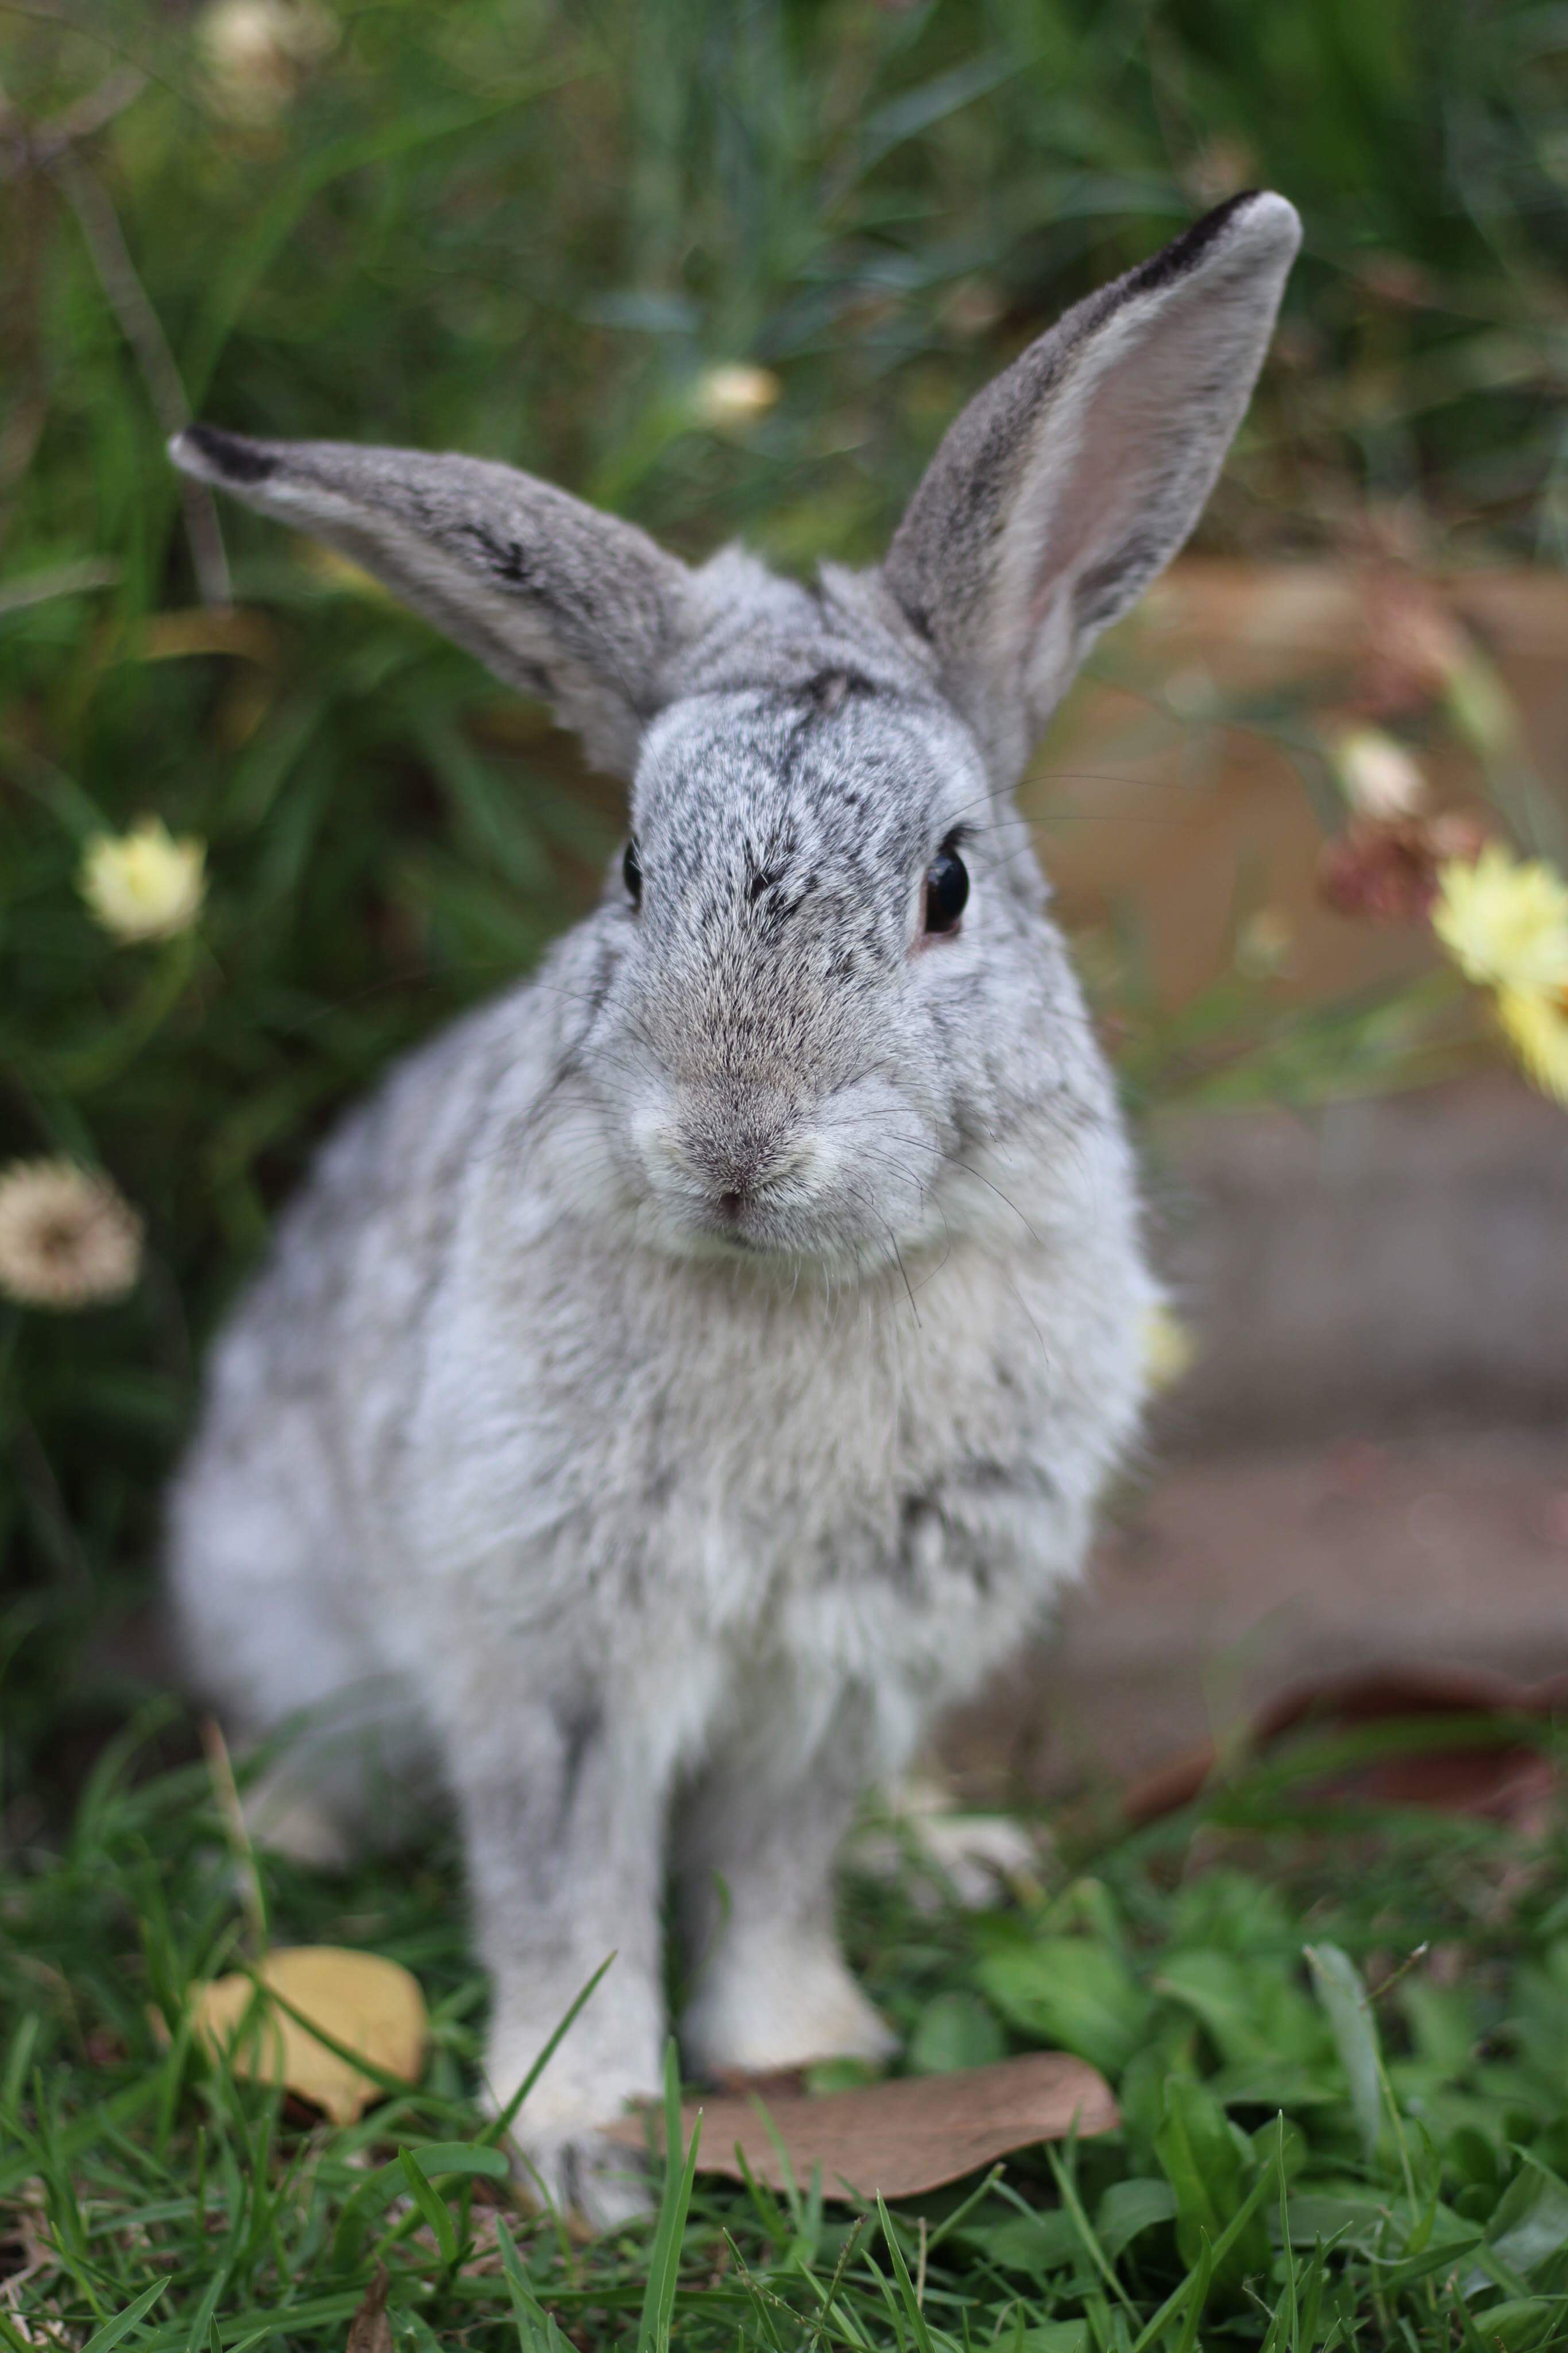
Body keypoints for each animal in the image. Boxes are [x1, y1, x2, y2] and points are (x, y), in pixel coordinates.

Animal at [166, 191, 1300, 2223]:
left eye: (948, 886)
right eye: (630, 868)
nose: (731, 1142)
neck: (792, 1286)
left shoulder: (850, 1664)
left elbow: (769, 1877)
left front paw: (802, 2054)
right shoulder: (554, 1657)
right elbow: (570, 1898)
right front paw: (580, 2130)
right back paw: (285, 1833)